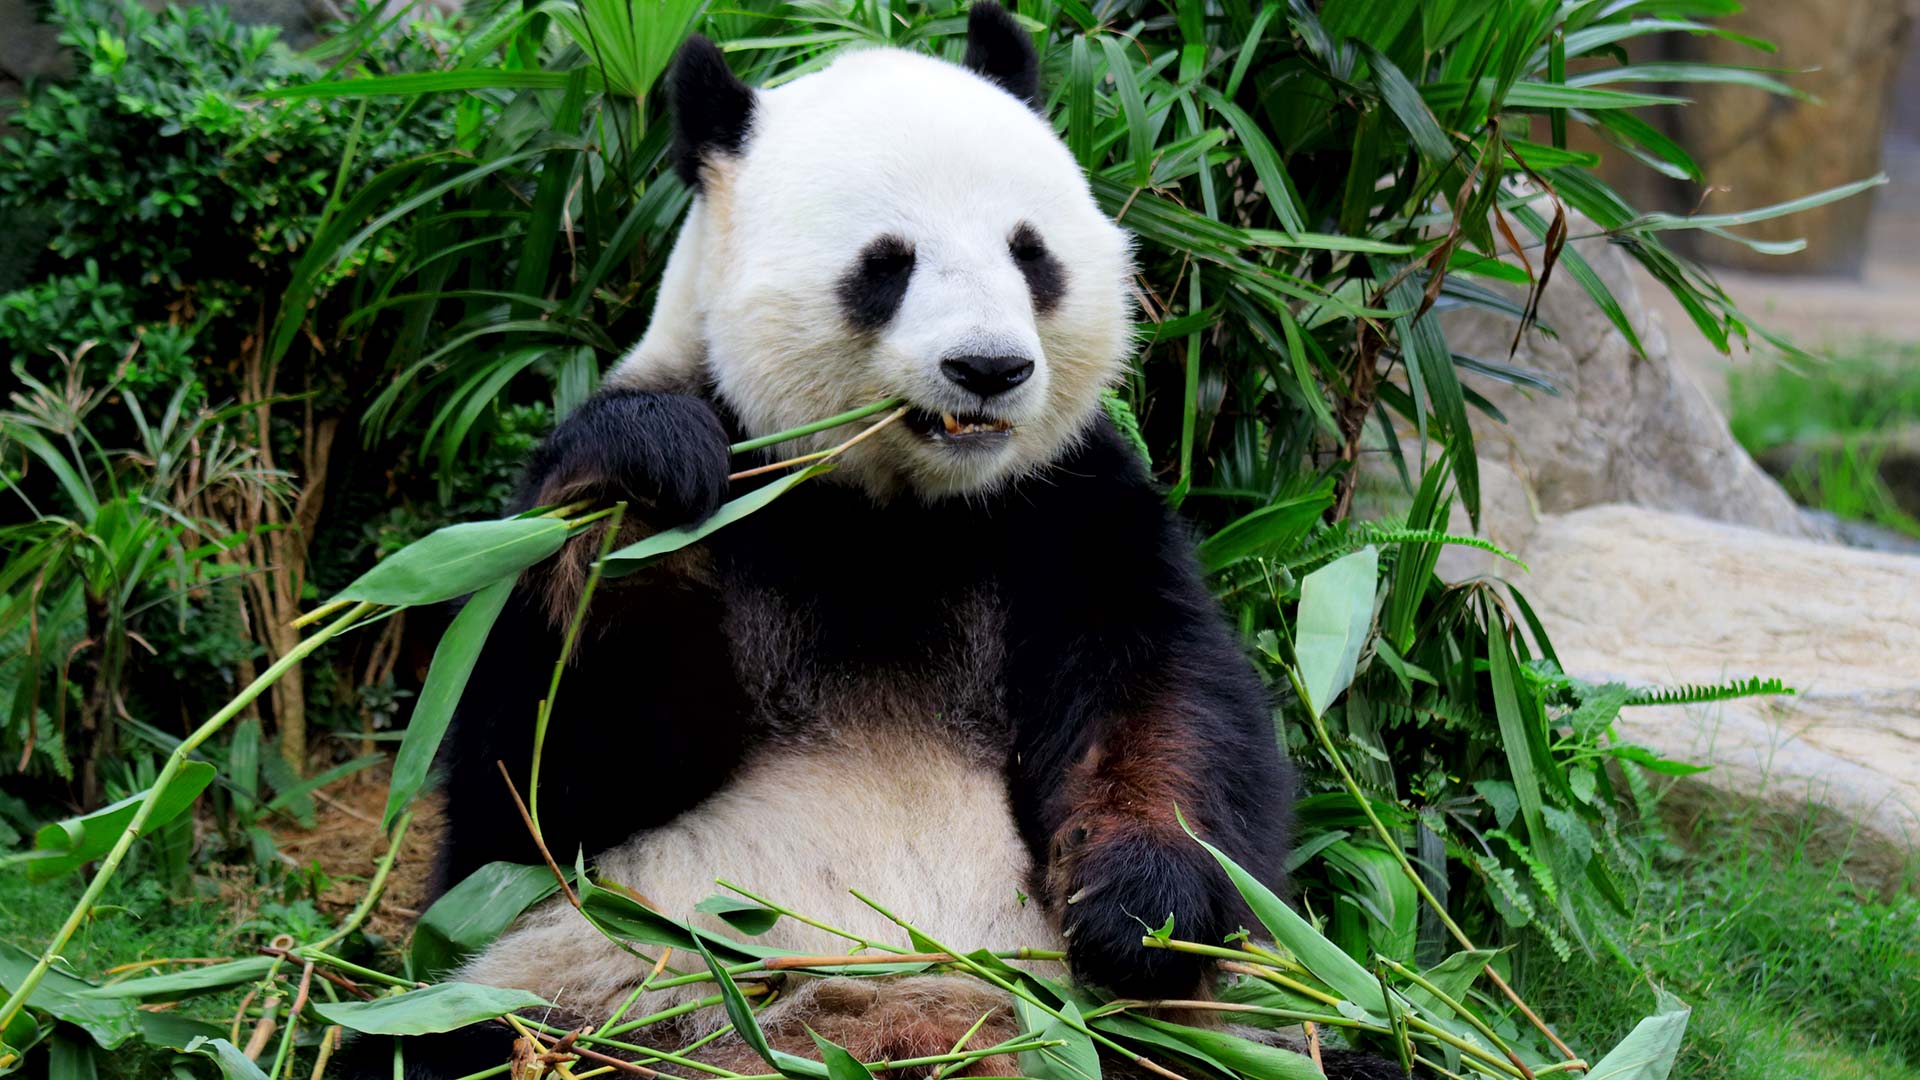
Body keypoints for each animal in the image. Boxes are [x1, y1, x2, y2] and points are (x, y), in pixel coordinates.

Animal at [343, 7, 1399, 1079]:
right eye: (887, 263)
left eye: (1030, 253)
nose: (989, 368)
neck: (897, 511)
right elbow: (546, 777)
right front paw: (648, 475)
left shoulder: (1067, 506)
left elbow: (1163, 697)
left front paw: (1140, 908)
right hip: (584, 999)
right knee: (447, 1040)